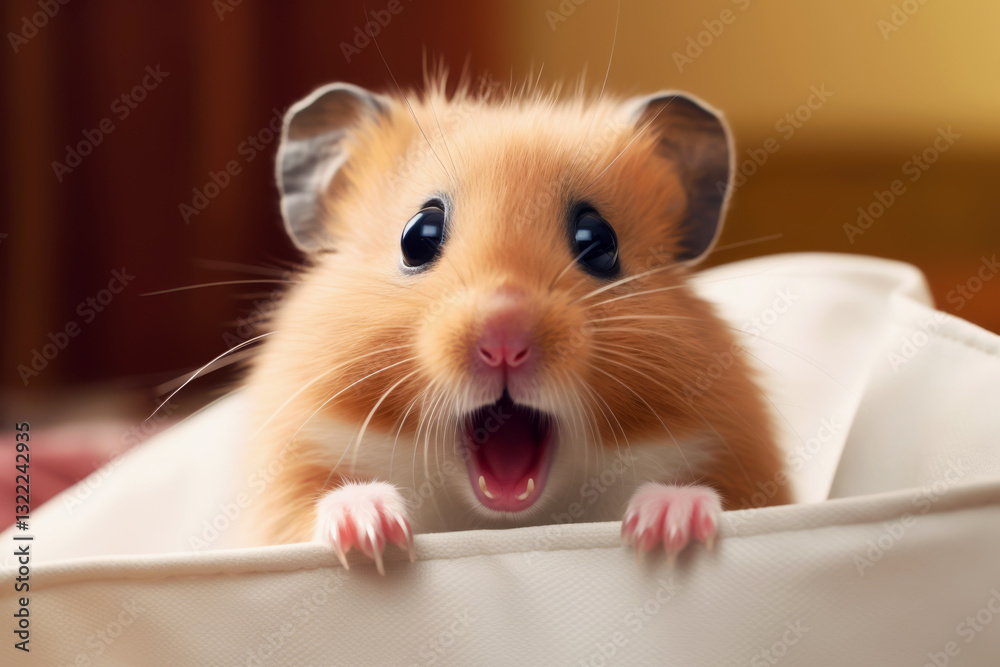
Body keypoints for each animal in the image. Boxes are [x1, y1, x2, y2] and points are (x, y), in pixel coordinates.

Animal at [244, 75, 790, 574]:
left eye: (599, 243)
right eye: (418, 237)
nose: (503, 339)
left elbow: (711, 495)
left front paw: (670, 529)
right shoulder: (283, 490)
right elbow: (309, 513)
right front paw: (372, 535)